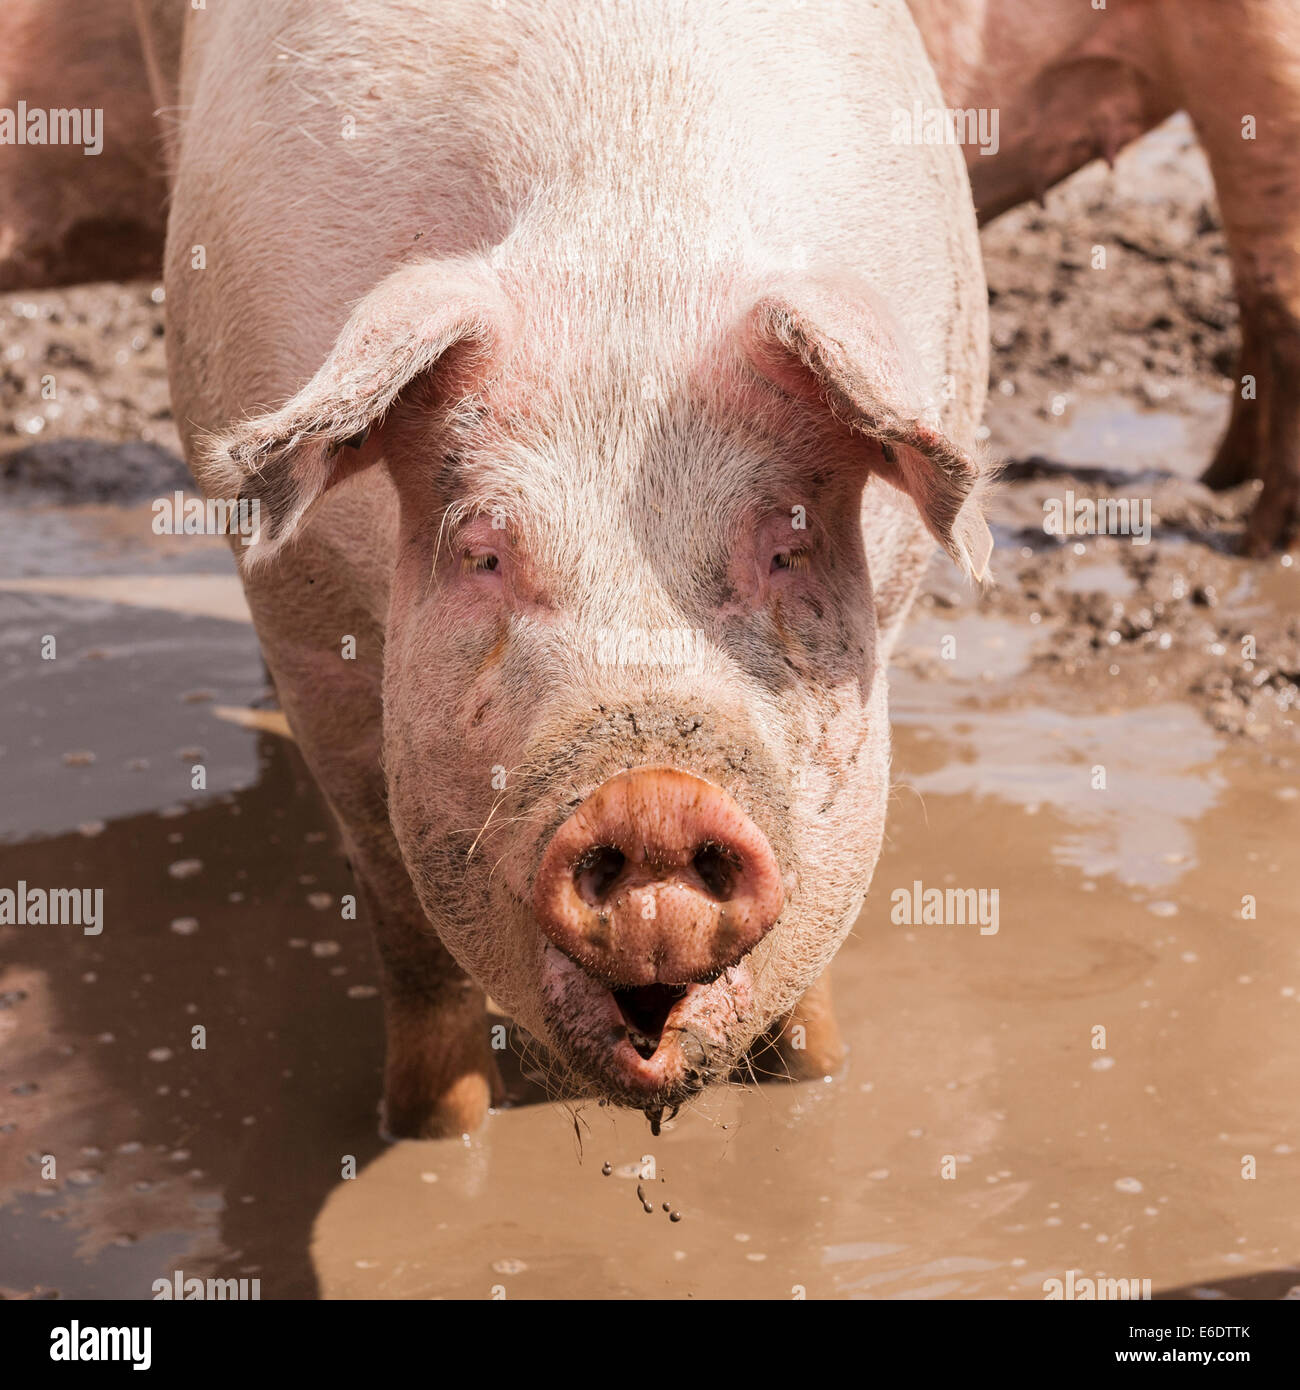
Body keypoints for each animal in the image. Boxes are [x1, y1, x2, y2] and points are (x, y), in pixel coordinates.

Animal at [130, 0, 992, 1138]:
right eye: (485, 551)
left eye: (785, 546)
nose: (656, 801)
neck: (630, 251)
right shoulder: (300, 605)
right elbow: (404, 921)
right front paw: (432, 1133)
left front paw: (813, 1077)